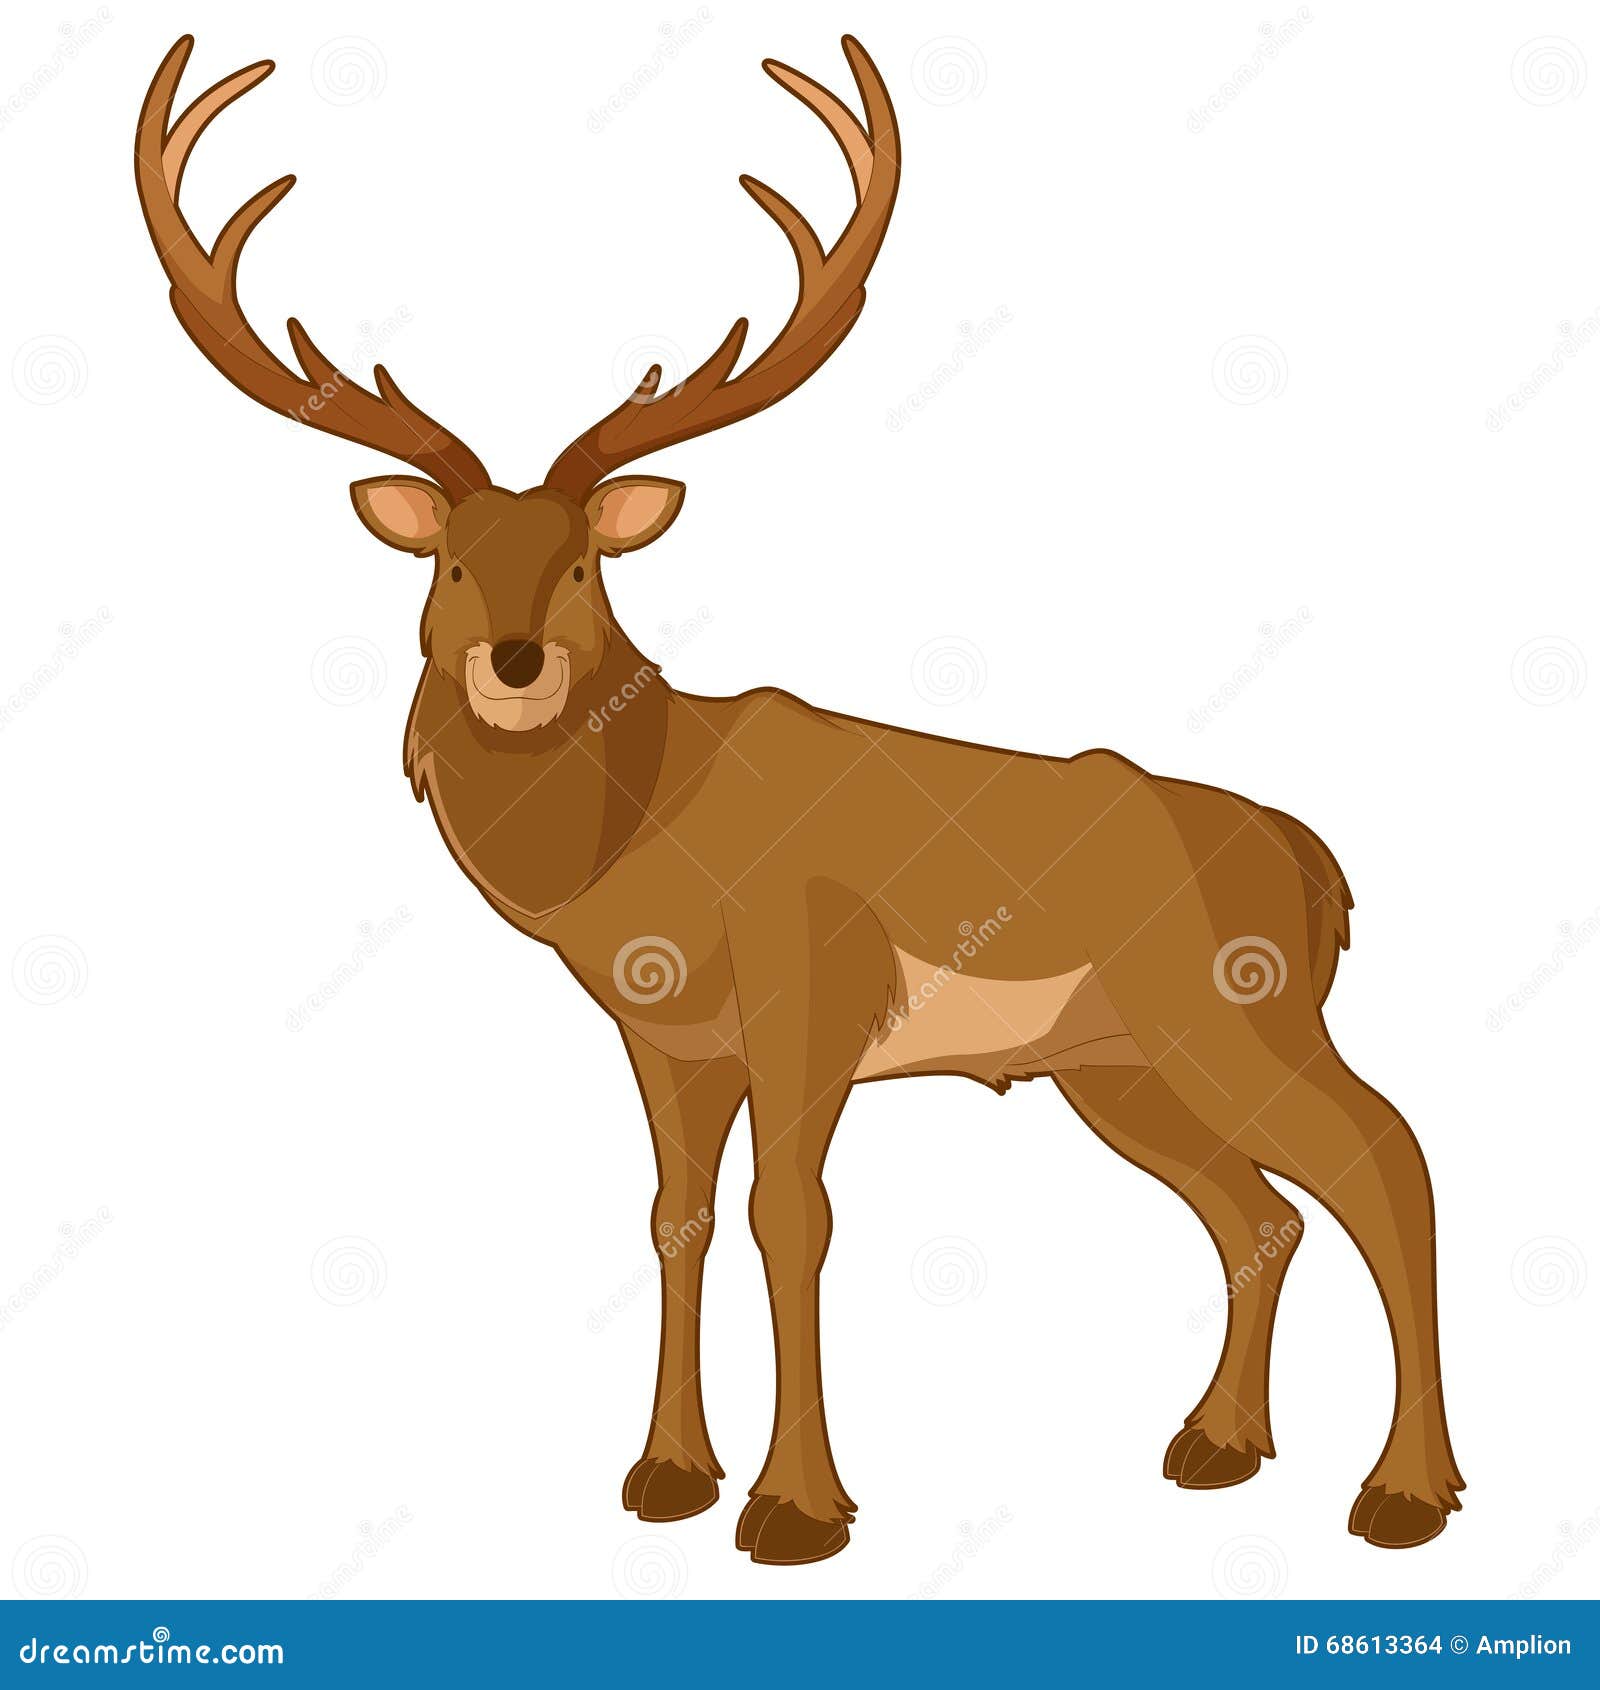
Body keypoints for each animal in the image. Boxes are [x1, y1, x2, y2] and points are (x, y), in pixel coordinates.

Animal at [137, 34, 1464, 1565]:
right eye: (453, 563)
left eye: (584, 563)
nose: (516, 660)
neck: (643, 843)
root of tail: (1317, 870)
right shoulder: (666, 1037)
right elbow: (678, 1216)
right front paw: (665, 1476)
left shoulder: (810, 987)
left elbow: (793, 1214)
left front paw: (794, 1507)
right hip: (1118, 1067)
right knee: (1259, 1210)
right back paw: (1218, 1445)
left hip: (1228, 1010)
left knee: (1386, 1156)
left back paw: (1404, 1493)